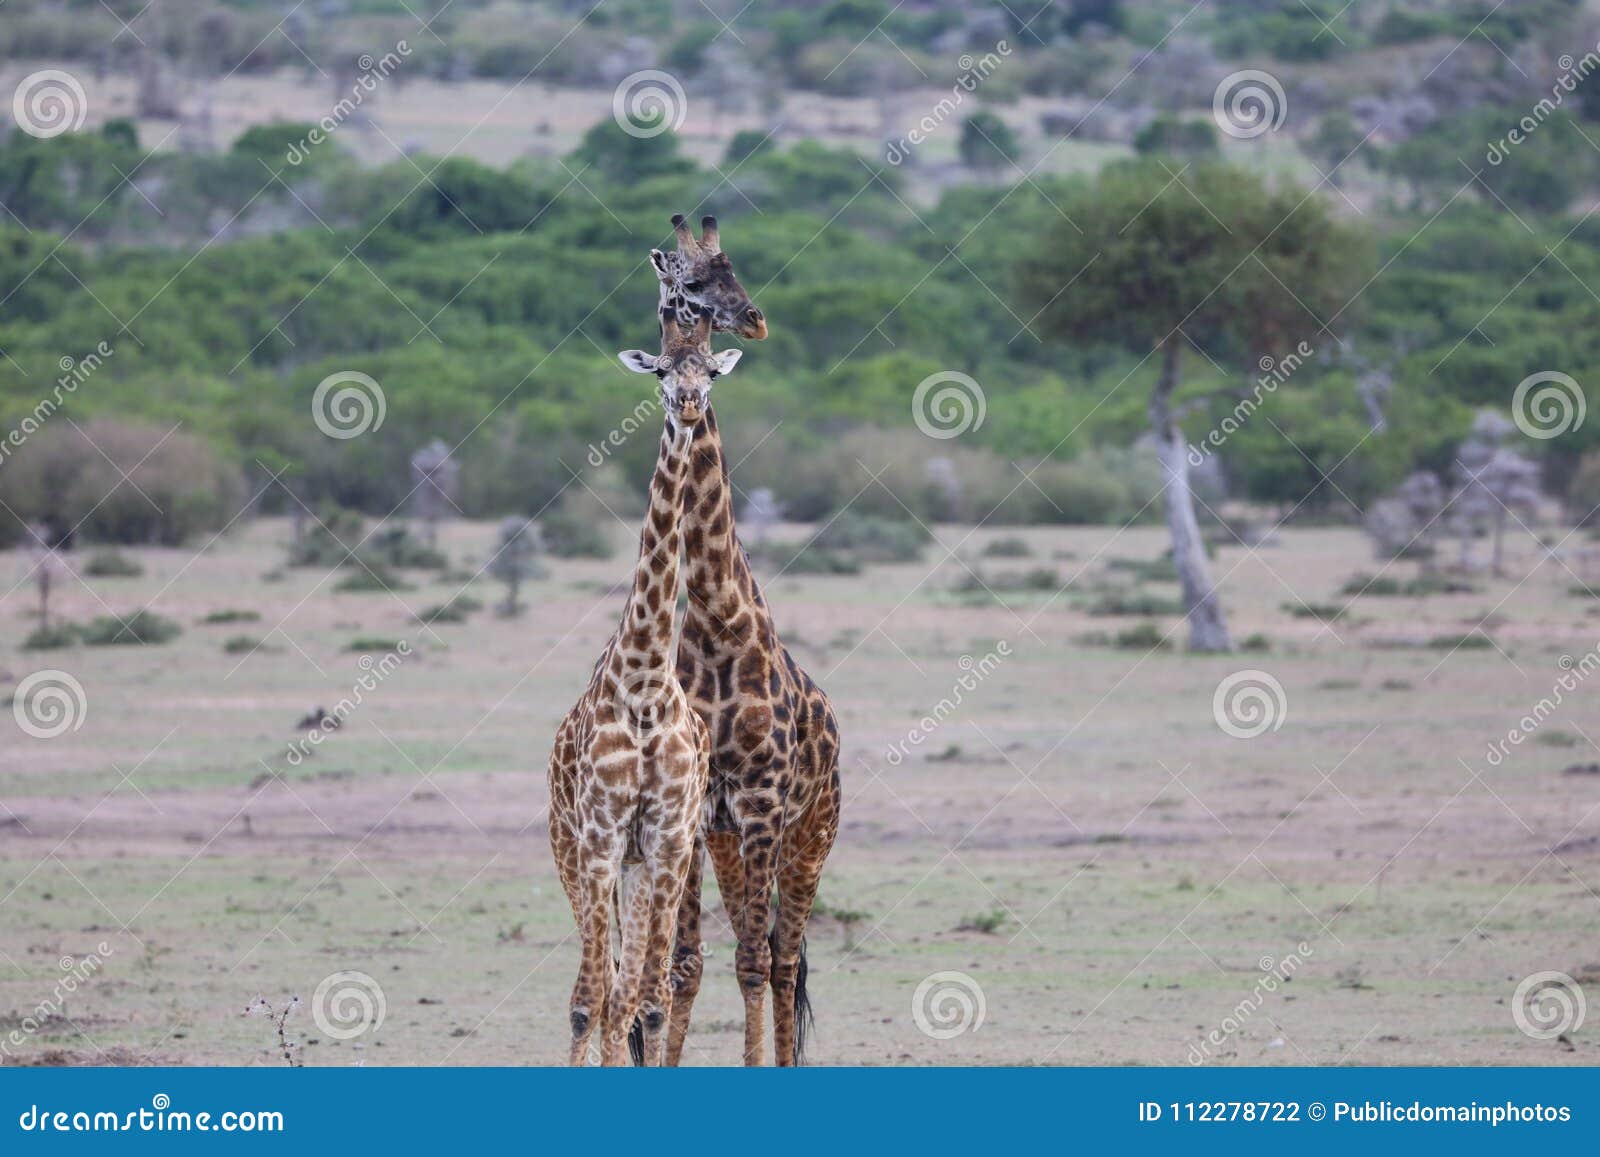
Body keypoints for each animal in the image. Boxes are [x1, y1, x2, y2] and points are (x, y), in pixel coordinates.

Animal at [546, 310, 741, 1066]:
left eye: (710, 369)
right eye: (660, 368)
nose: (687, 404)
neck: (644, 682)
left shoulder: (665, 842)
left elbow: (648, 1002)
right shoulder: (600, 840)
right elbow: (591, 1001)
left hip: (638, 864)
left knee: (629, 992)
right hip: (569, 848)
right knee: (596, 992)